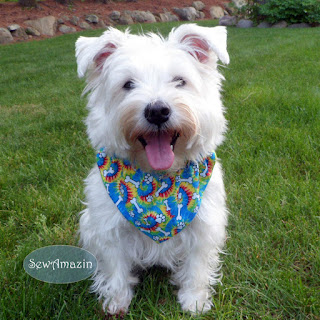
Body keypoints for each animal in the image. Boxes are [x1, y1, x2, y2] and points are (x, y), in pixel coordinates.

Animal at [76, 24, 229, 316]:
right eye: (128, 84)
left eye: (180, 81)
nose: (157, 111)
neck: (157, 179)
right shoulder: (108, 227)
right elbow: (115, 267)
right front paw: (116, 302)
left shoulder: (204, 223)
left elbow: (197, 265)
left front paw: (194, 300)